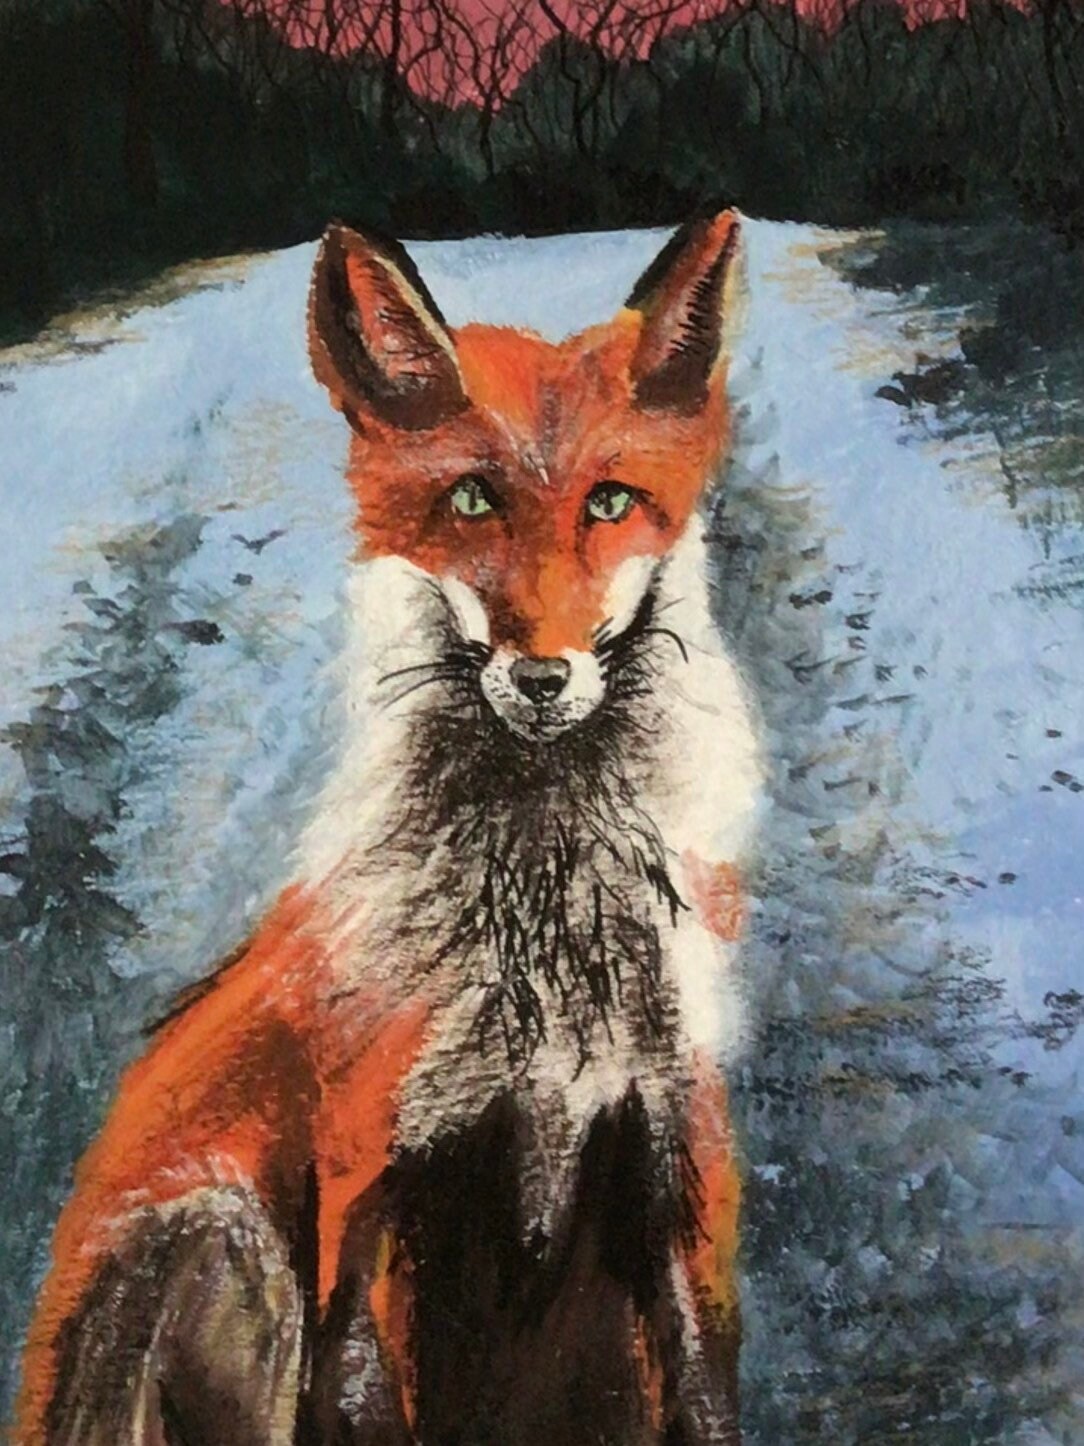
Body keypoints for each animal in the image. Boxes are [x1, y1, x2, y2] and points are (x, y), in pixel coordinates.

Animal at [14, 211, 763, 1446]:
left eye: (610, 503)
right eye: (470, 501)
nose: (544, 678)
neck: (544, 959)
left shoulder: (667, 1172)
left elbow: (704, 1393)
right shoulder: (375, 1186)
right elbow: (360, 1388)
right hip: (220, 1234)